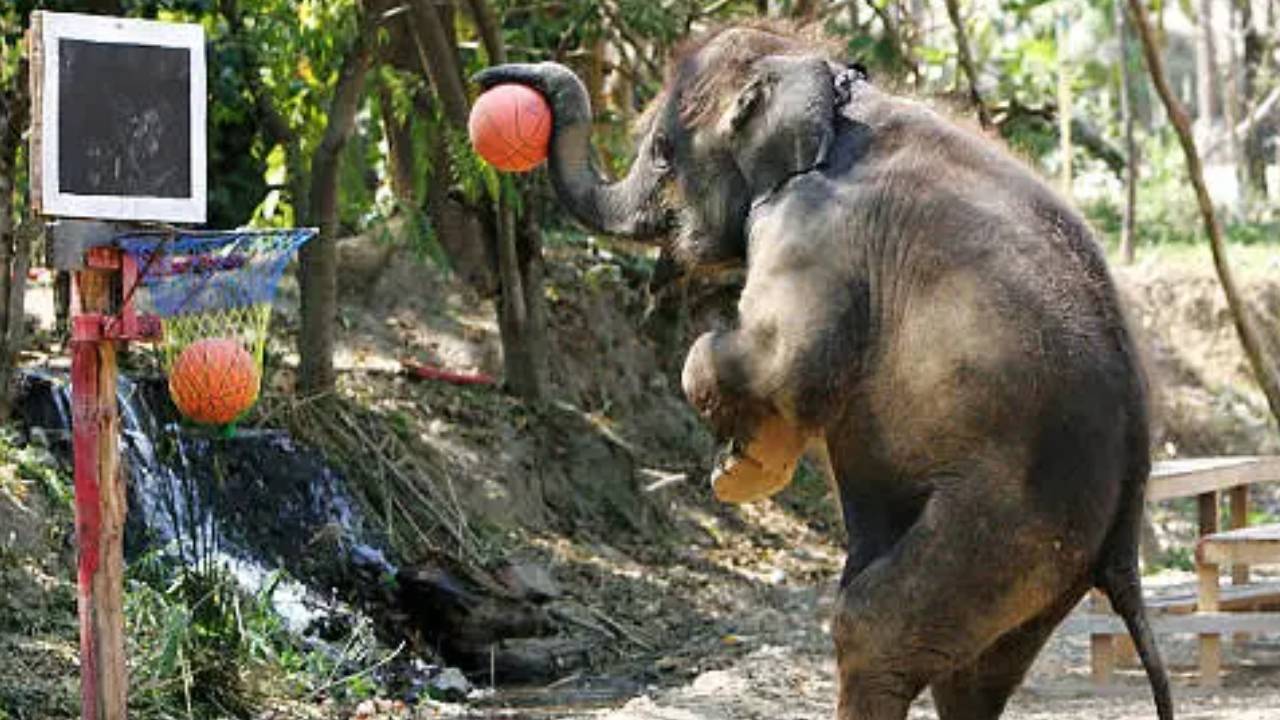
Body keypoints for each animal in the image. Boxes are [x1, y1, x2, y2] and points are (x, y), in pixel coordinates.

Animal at [477, 22, 1173, 720]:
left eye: (664, 152)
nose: (495, 79)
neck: (831, 91)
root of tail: (1125, 536)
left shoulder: (812, 224)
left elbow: (785, 361)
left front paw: (744, 470)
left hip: (1010, 518)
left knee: (872, 625)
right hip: (1046, 570)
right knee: (974, 673)